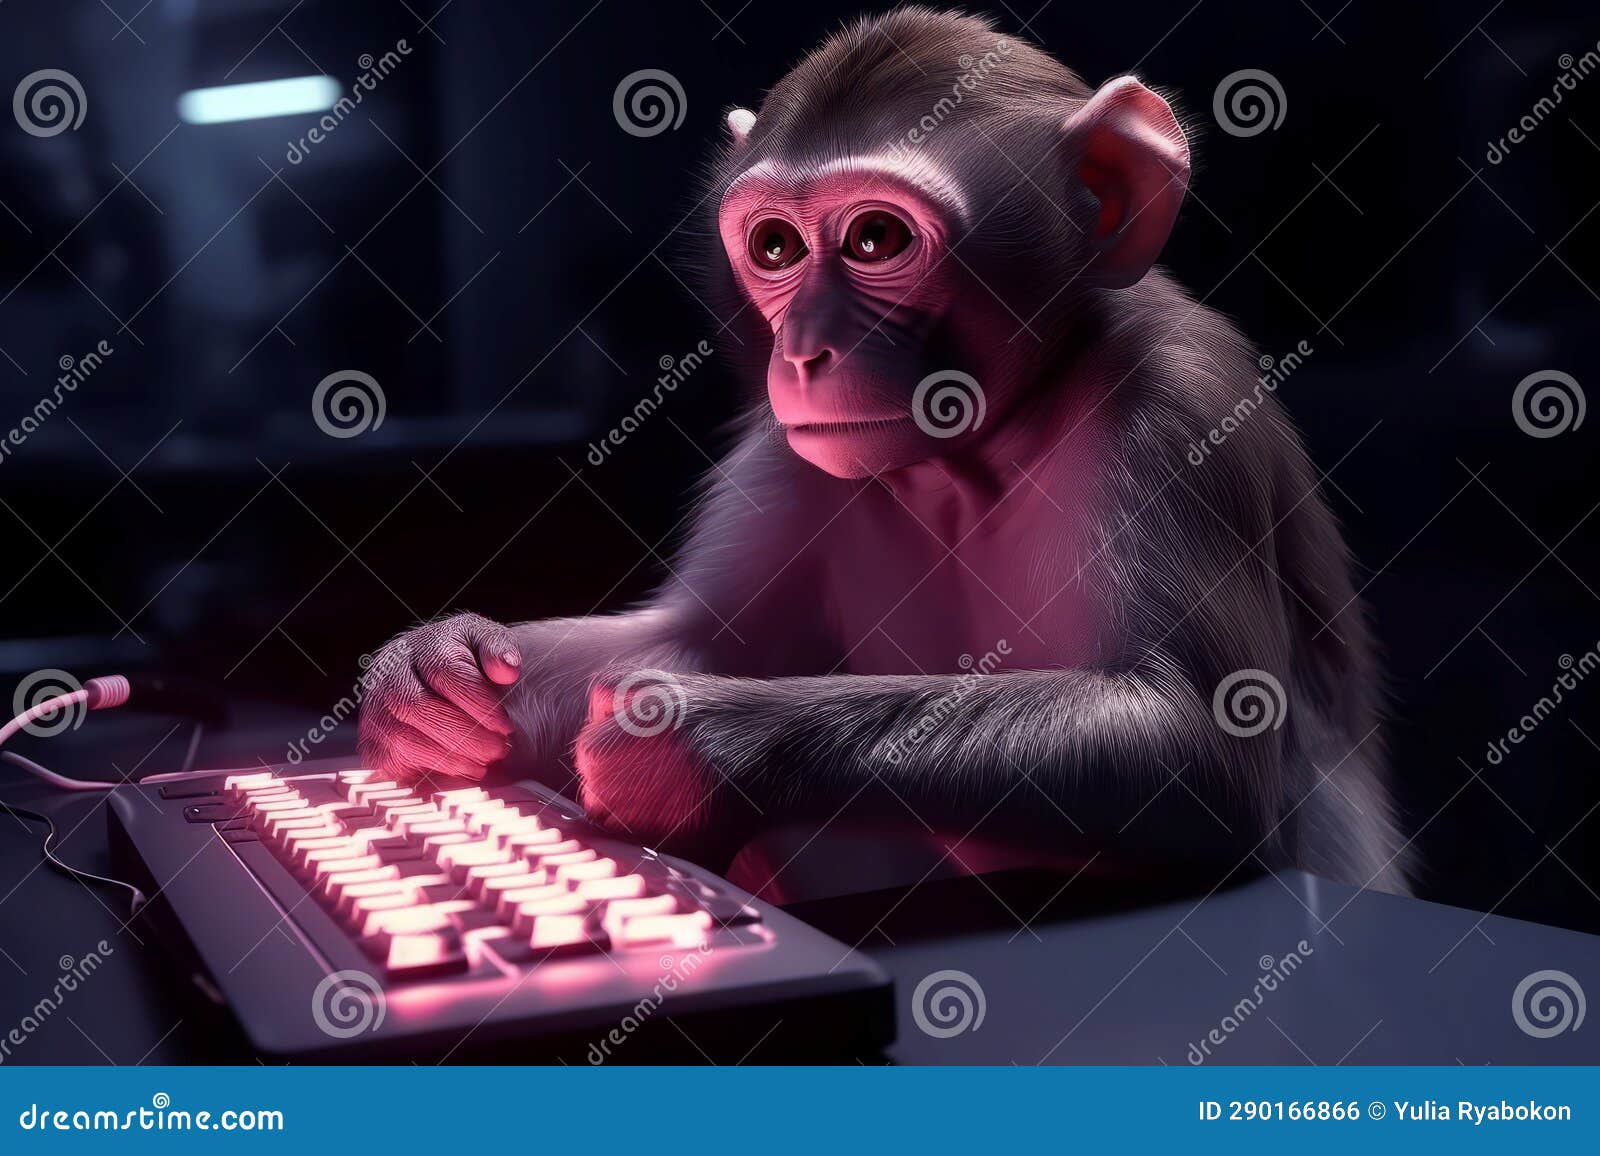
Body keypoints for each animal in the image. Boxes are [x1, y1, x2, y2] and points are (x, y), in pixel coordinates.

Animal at [356, 7, 1410, 899]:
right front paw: (437, 677)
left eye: (873, 238)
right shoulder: (785, 458)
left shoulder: (1183, 405)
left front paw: (691, 742)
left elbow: (1194, 742)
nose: (803, 349)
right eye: (775, 249)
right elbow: (704, 633)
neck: (986, 447)